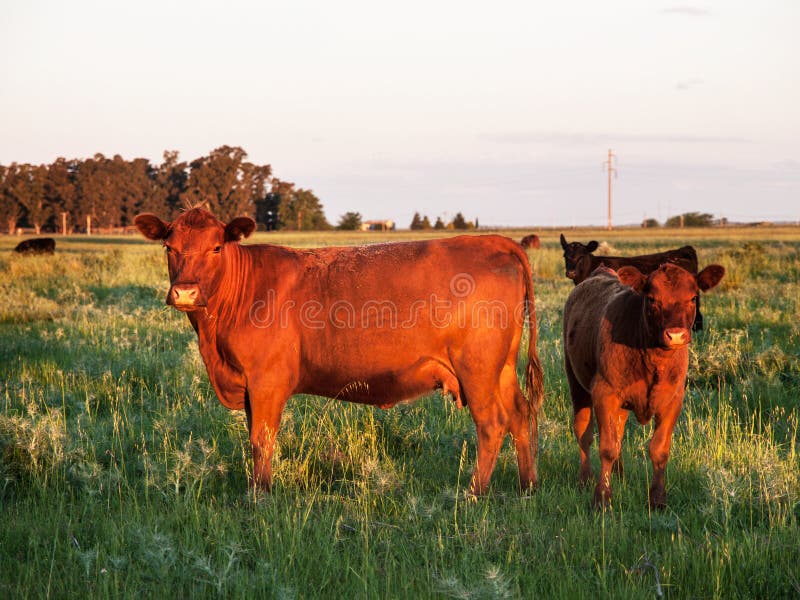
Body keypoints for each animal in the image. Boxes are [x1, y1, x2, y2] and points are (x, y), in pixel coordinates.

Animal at [135, 208, 544, 495]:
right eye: (169, 247)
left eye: (217, 247)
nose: (185, 292)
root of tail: (495, 241)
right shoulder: (250, 386)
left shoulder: (266, 381)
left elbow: (261, 440)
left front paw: (260, 495)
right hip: (501, 368)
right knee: (520, 414)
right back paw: (527, 487)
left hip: (478, 369)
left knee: (492, 423)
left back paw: (473, 493)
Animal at [563, 262, 724, 509]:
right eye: (652, 299)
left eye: (693, 298)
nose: (676, 335)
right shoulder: (604, 392)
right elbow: (606, 448)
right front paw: (602, 498)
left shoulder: (673, 400)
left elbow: (659, 448)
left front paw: (657, 499)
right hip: (577, 382)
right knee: (584, 433)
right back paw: (585, 479)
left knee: (618, 434)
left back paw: (620, 476)